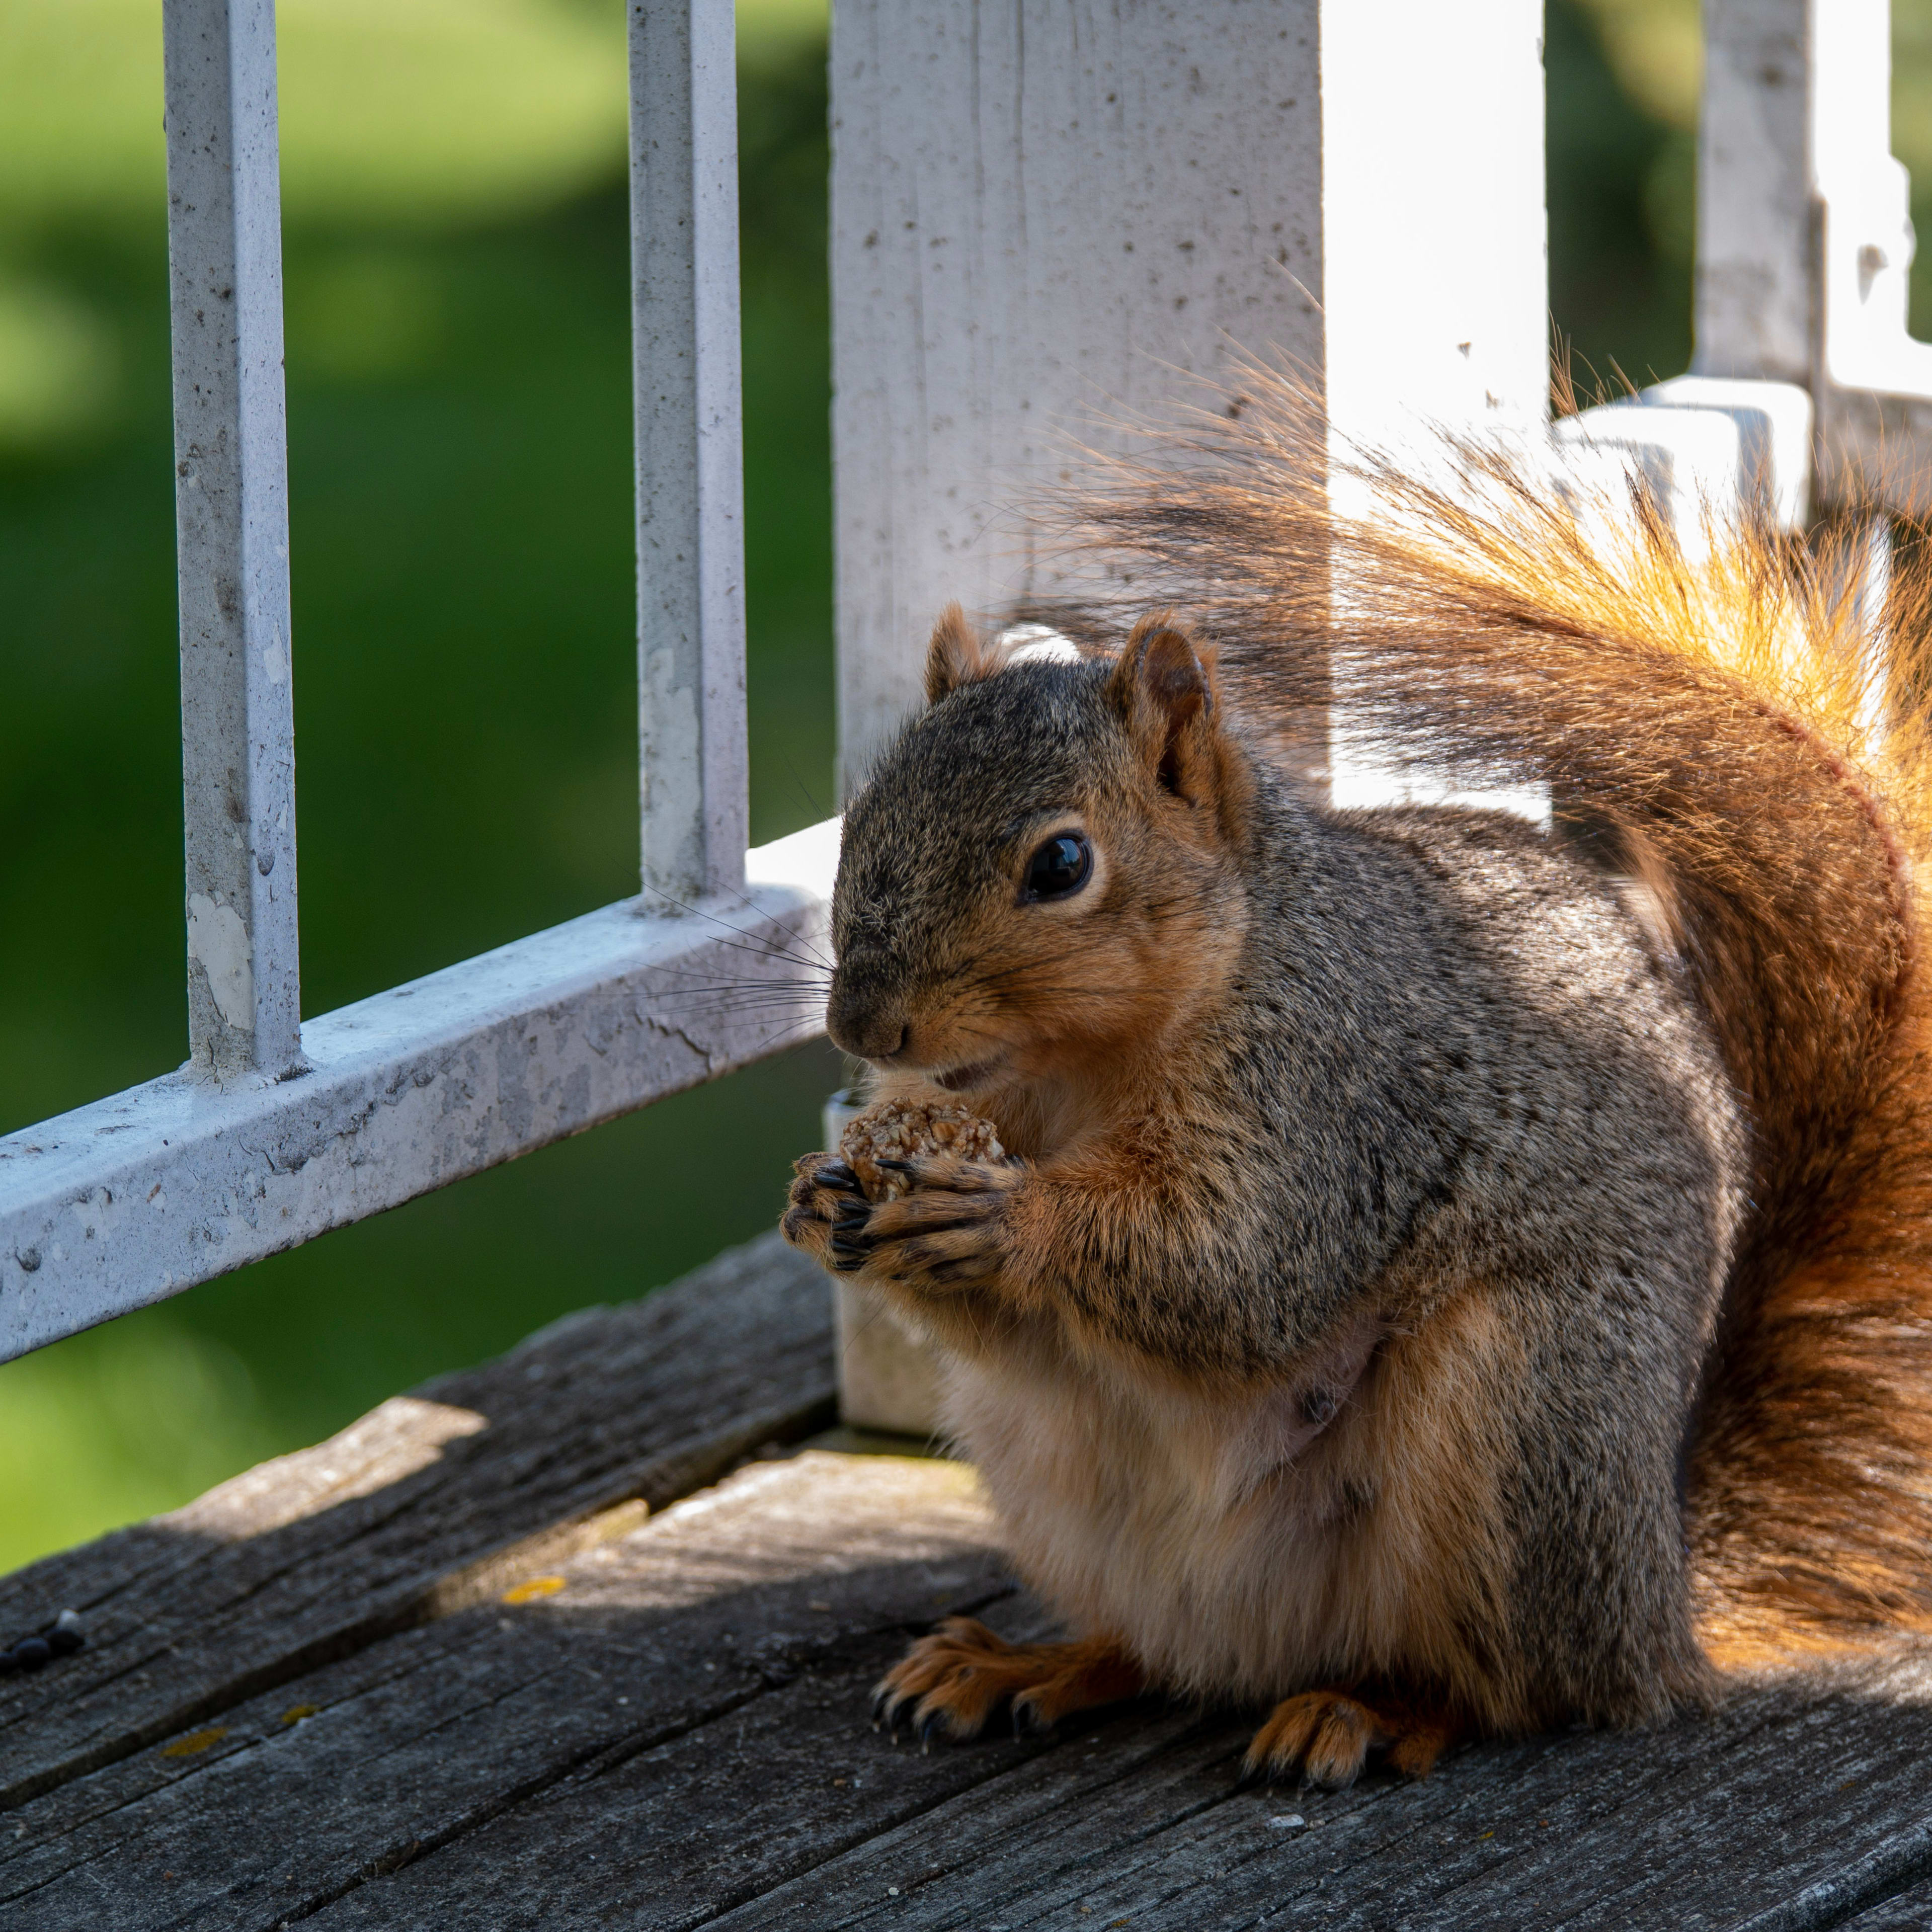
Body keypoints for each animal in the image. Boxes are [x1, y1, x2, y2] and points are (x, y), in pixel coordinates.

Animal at [779, 377, 1932, 1787]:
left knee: (1513, 1687)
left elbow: (1239, 1271)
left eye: (1060, 864)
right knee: (1165, 1654)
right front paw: (821, 1196)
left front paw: (1005, 1213)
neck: (1070, 1078)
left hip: (1519, 1417)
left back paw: (1375, 1711)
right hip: (1049, 1471)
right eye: (862, 816)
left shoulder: (1339, 1093)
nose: (862, 1021)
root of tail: (1660, 1604)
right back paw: (1031, 1662)